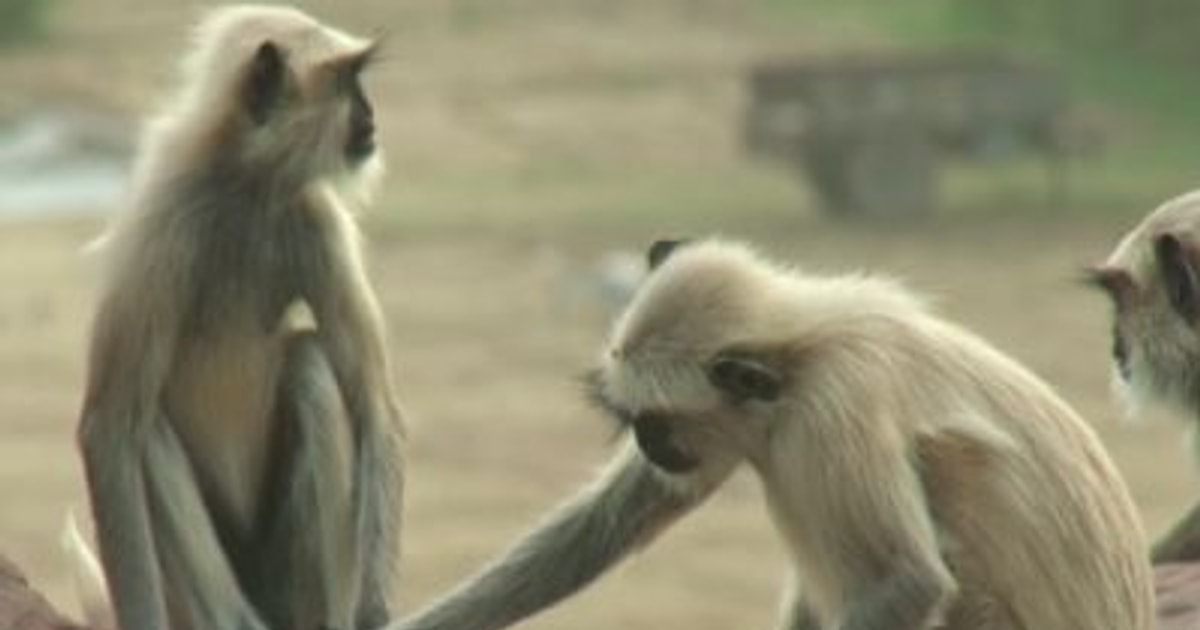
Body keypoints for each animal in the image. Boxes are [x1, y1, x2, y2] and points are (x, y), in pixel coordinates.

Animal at [74, 6, 403, 630]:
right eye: (348, 82)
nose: (372, 115)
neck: (246, 188)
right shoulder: (160, 223)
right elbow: (110, 427)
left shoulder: (318, 221)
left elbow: (373, 409)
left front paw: (374, 609)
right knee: (144, 429)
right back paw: (234, 618)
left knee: (308, 364)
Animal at [390, 238, 1153, 630]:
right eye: (634, 425)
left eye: (656, 428)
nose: (649, 448)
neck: (805, 348)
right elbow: (618, 514)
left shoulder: (831, 412)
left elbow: (910, 580)